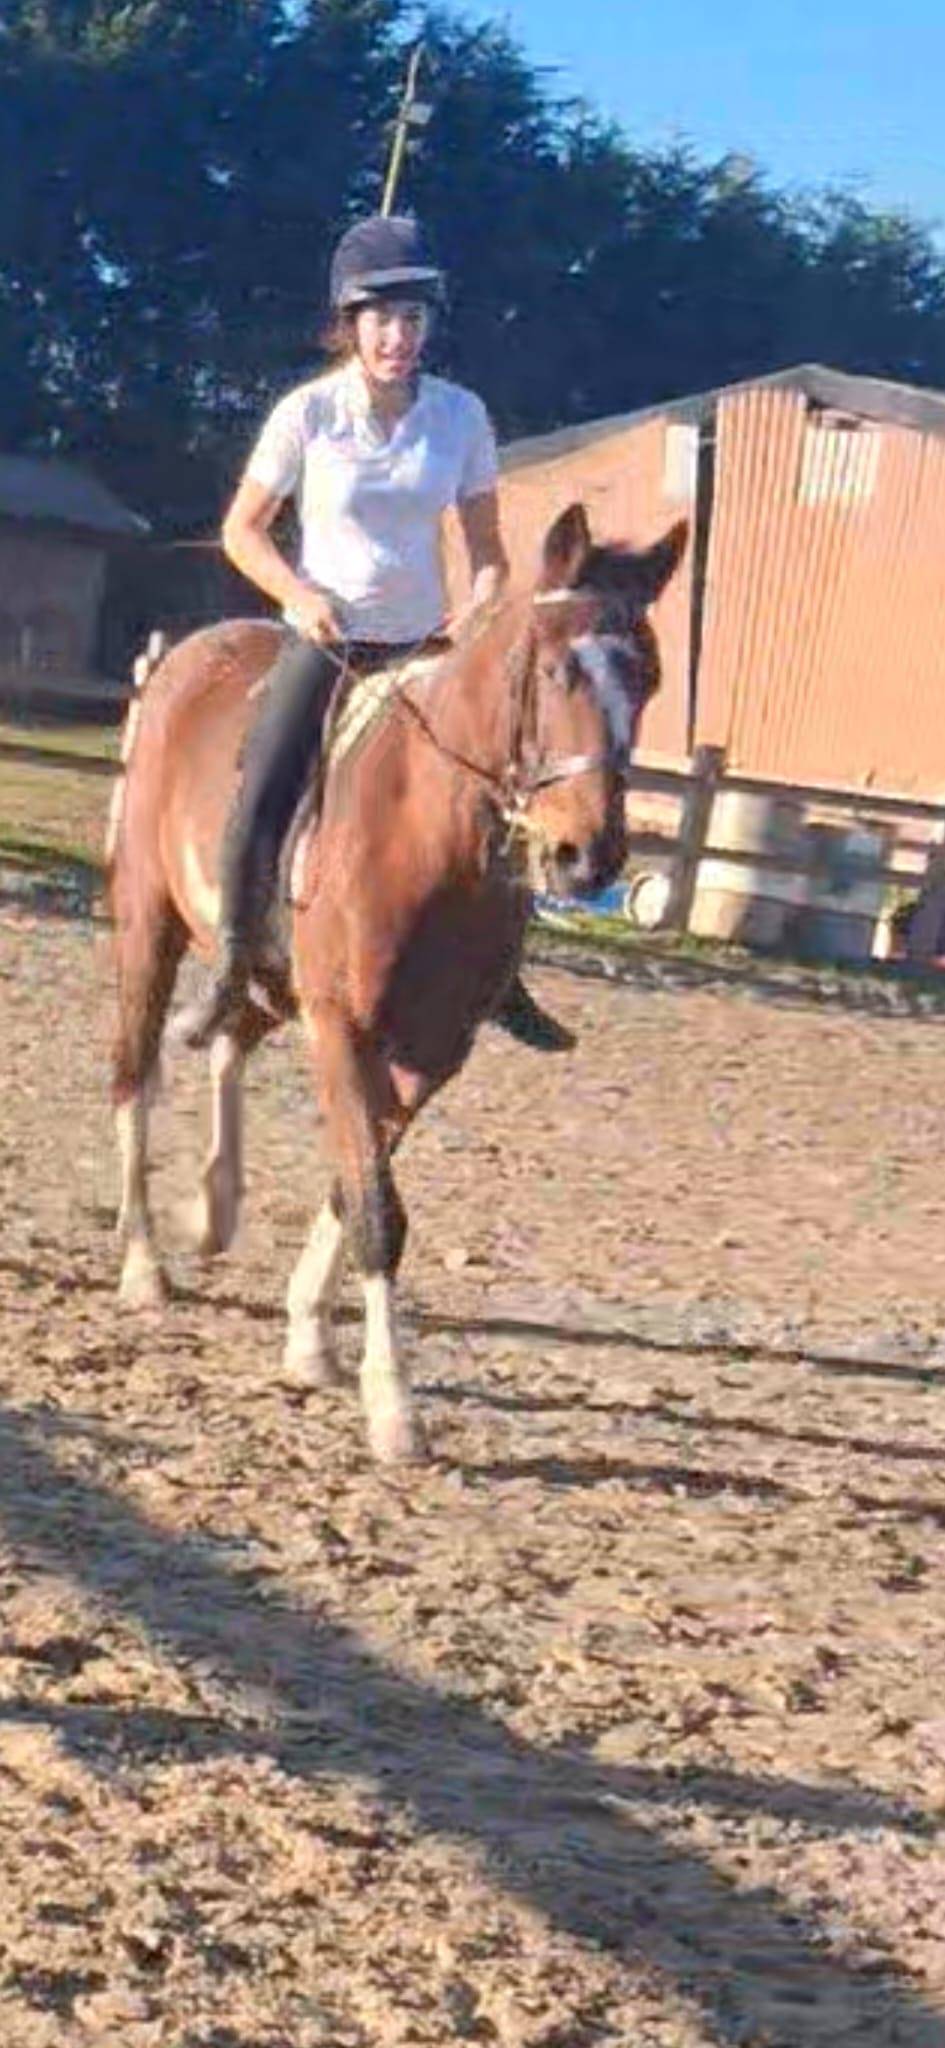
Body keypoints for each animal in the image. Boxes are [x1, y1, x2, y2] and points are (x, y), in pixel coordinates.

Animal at [108, 502, 687, 1462]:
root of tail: (187, 657)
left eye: (648, 676)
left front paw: (310, 1336)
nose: (588, 856)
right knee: (133, 1073)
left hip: (275, 982)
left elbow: (354, 1185)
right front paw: (393, 1407)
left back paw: (215, 1207)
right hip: (147, 924)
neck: (429, 836)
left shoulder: (431, 1052)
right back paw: (144, 1261)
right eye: (556, 667)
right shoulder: (344, 1026)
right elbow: (377, 1209)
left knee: (231, 1036)